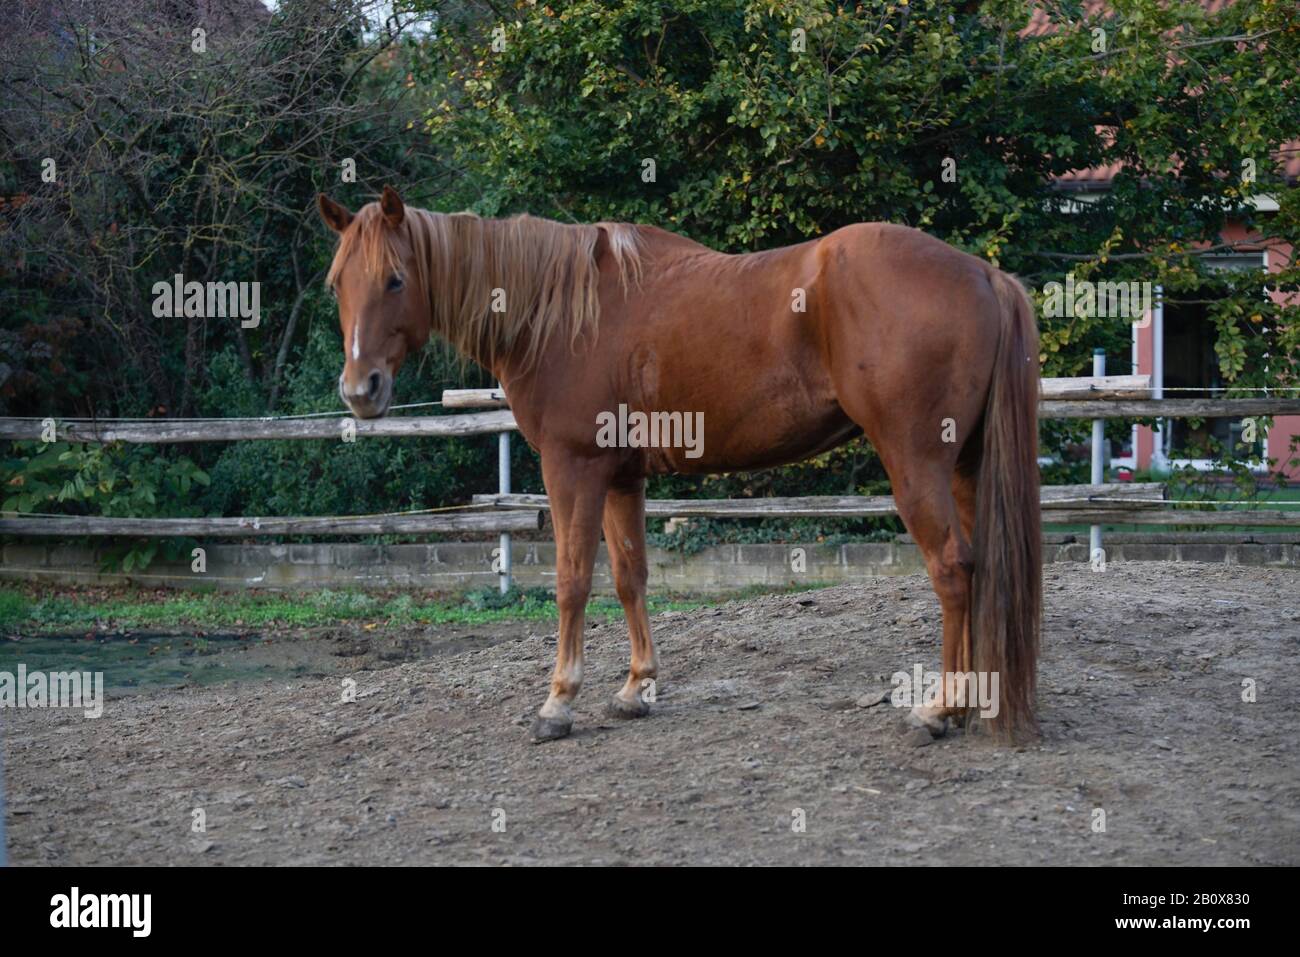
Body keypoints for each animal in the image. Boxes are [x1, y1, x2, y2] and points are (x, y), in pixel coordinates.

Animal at [318, 186, 1042, 743]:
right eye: (336, 284)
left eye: (395, 279)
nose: (360, 390)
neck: (559, 314)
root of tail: (982, 273)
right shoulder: (621, 476)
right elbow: (630, 577)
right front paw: (635, 689)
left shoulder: (573, 468)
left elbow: (572, 581)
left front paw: (558, 703)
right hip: (964, 466)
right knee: (980, 567)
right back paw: (972, 701)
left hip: (916, 463)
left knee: (952, 570)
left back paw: (939, 709)